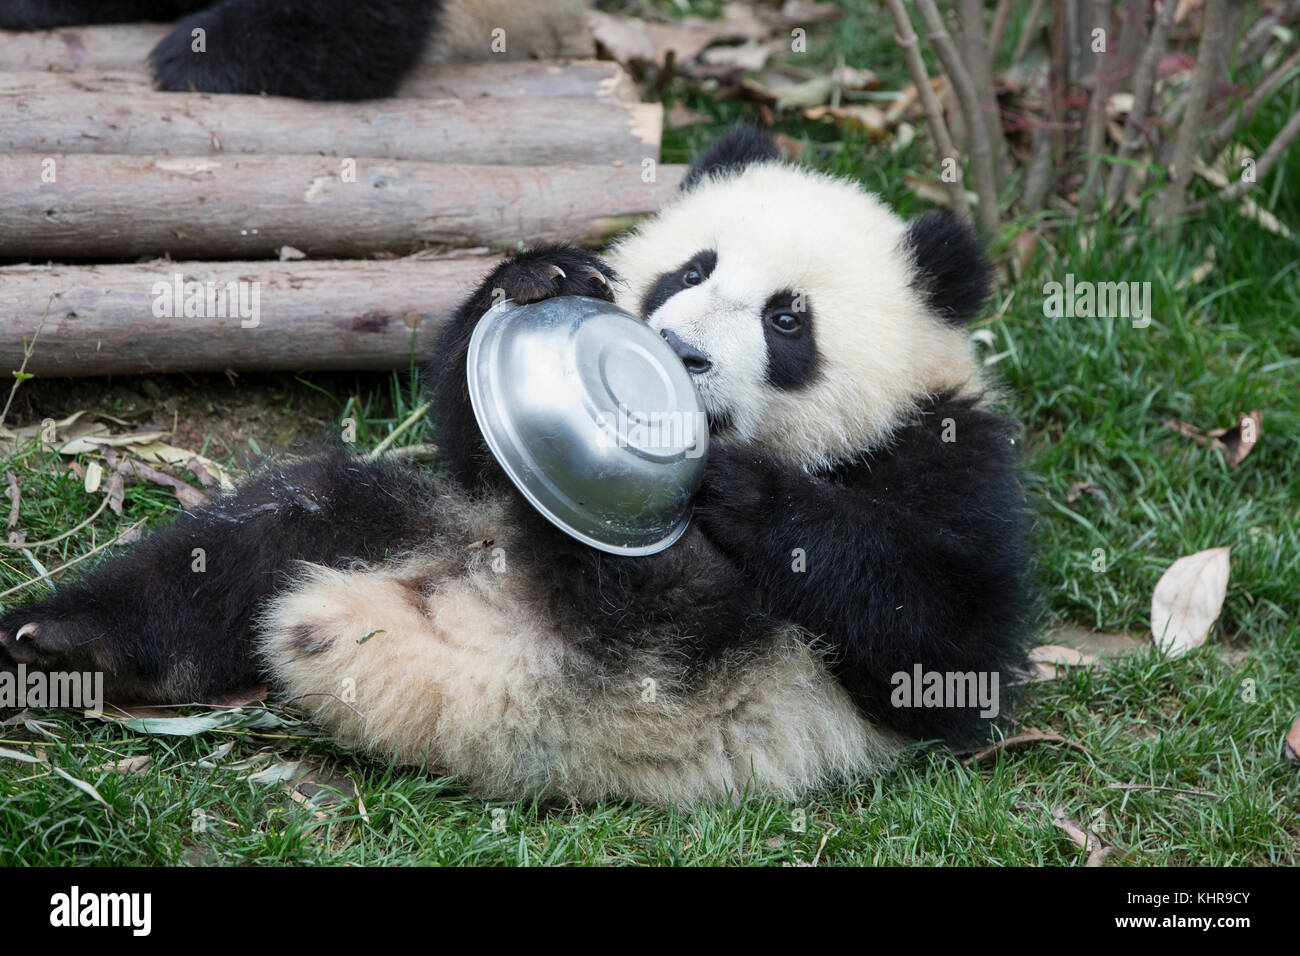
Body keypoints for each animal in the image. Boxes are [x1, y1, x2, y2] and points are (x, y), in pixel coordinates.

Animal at [0, 127, 1034, 805]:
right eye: (691, 270)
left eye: (788, 319)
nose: (680, 355)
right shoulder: (484, 482)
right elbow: (473, 439)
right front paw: (539, 278)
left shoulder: (946, 448)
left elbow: (949, 640)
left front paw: (746, 492)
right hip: (427, 527)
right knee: (272, 528)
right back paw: (59, 643)